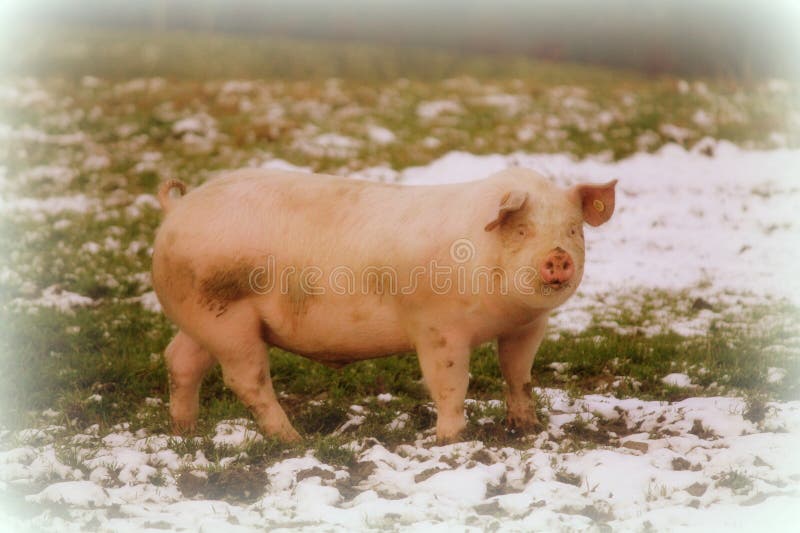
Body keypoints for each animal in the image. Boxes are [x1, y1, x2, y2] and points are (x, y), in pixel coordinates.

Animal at [151, 168, 616, 444]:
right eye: (521, 230)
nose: (558, 257)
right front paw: (451, 440)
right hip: (227, 317)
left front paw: (527, 429)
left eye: (573, 229)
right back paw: (294, 441)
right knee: (245, 379)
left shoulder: (527, 325)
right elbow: (450, 383)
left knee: (180, 360)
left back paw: (186, 433)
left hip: (201, 320)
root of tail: (178, 208)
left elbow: (519, 374)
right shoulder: (436, 327)